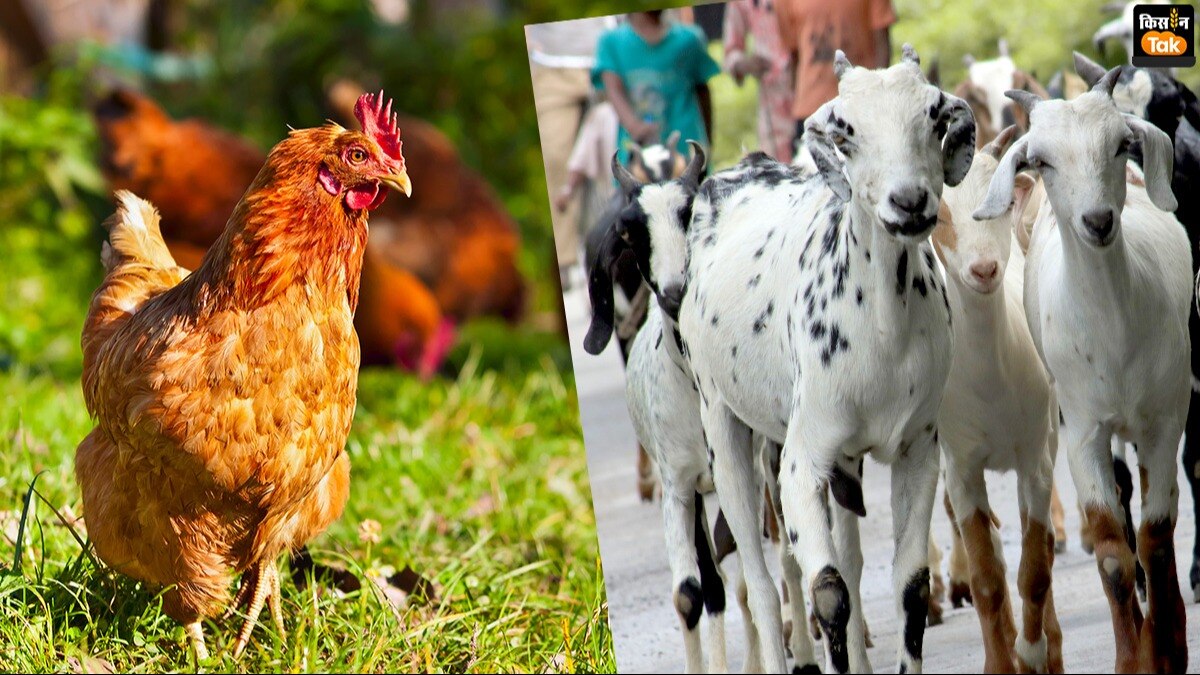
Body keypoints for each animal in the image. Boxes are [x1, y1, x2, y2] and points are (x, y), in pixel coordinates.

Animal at [679, 45, 973, 673]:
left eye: (933, 113)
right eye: (848, 131)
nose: (910, 202)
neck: (883, 329)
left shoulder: (917, 451)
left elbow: (910, 586)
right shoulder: (802, 462)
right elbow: (827, 590)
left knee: (851, 565)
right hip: (725, 430)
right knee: (765, 583)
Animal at [975, 63, 1190, 673]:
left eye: (1120, 144)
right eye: (1042, 159)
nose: (1097, 220)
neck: (1114, 329)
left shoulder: (1165, 420)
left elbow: (1156, 539)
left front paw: (1167, 650)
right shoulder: (1082, 429)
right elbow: (1116, 553)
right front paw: (1133, 659)